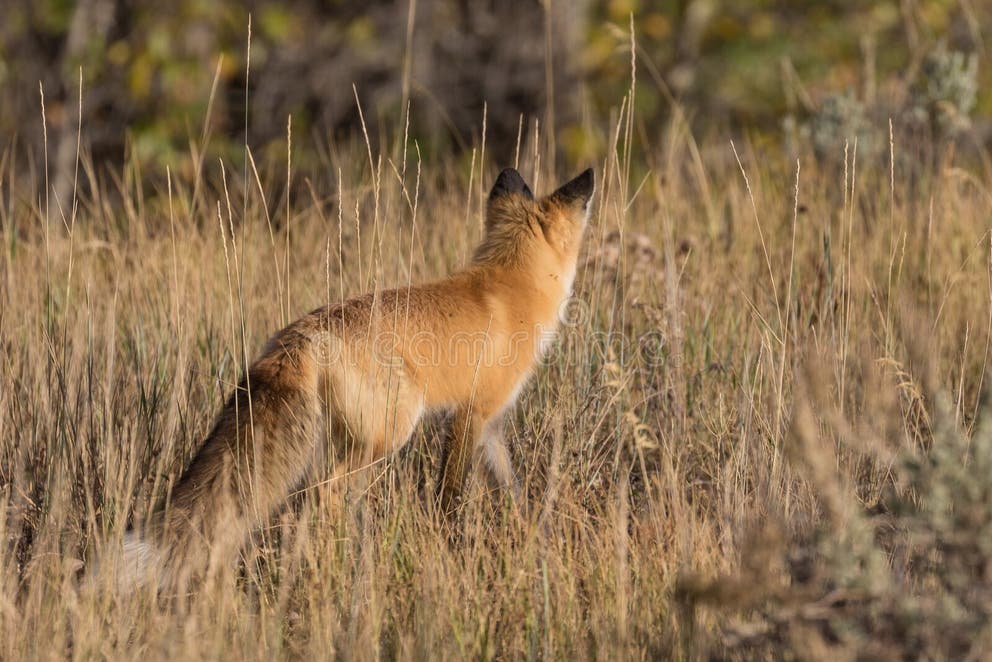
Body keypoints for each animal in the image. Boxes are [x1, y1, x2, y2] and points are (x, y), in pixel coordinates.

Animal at [115, 167, 595, 590]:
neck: (510, 285)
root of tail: (302, 335)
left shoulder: (490, 426)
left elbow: (513, 490)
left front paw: (534, 534)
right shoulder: (469, 416)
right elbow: (450, 494)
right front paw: (449, 541)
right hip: (390, 431)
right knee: (324, 494)